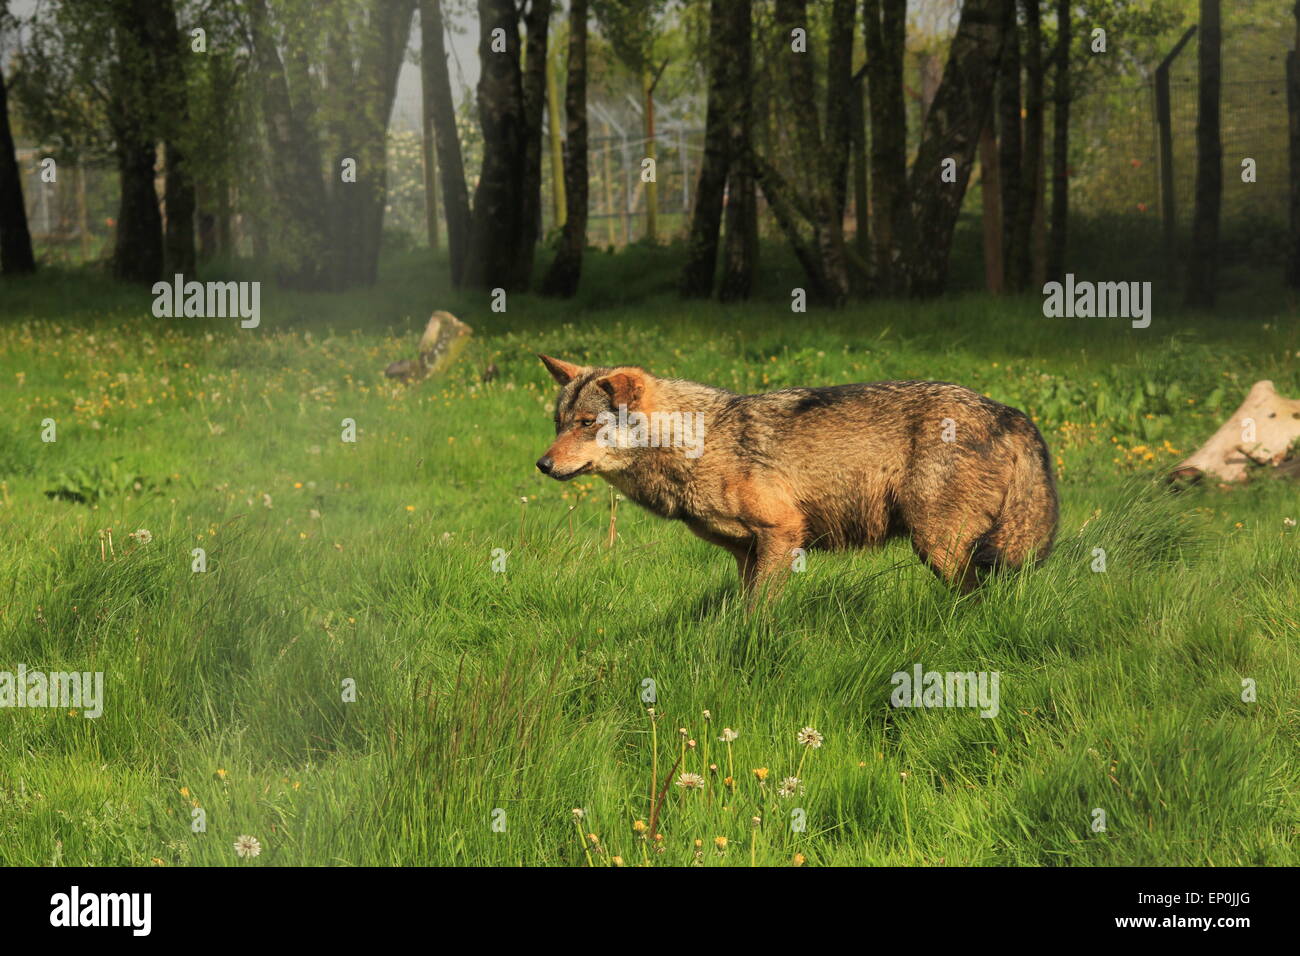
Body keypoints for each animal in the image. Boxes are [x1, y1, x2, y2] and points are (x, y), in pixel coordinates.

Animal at [536, 355, 1058, 603]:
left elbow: (761, 615)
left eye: (587, 424)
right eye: (559, 423)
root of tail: (1012, 413)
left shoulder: (783, 533)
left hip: (937, 544)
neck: (702, 442)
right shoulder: (746, 555)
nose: (542, 465)